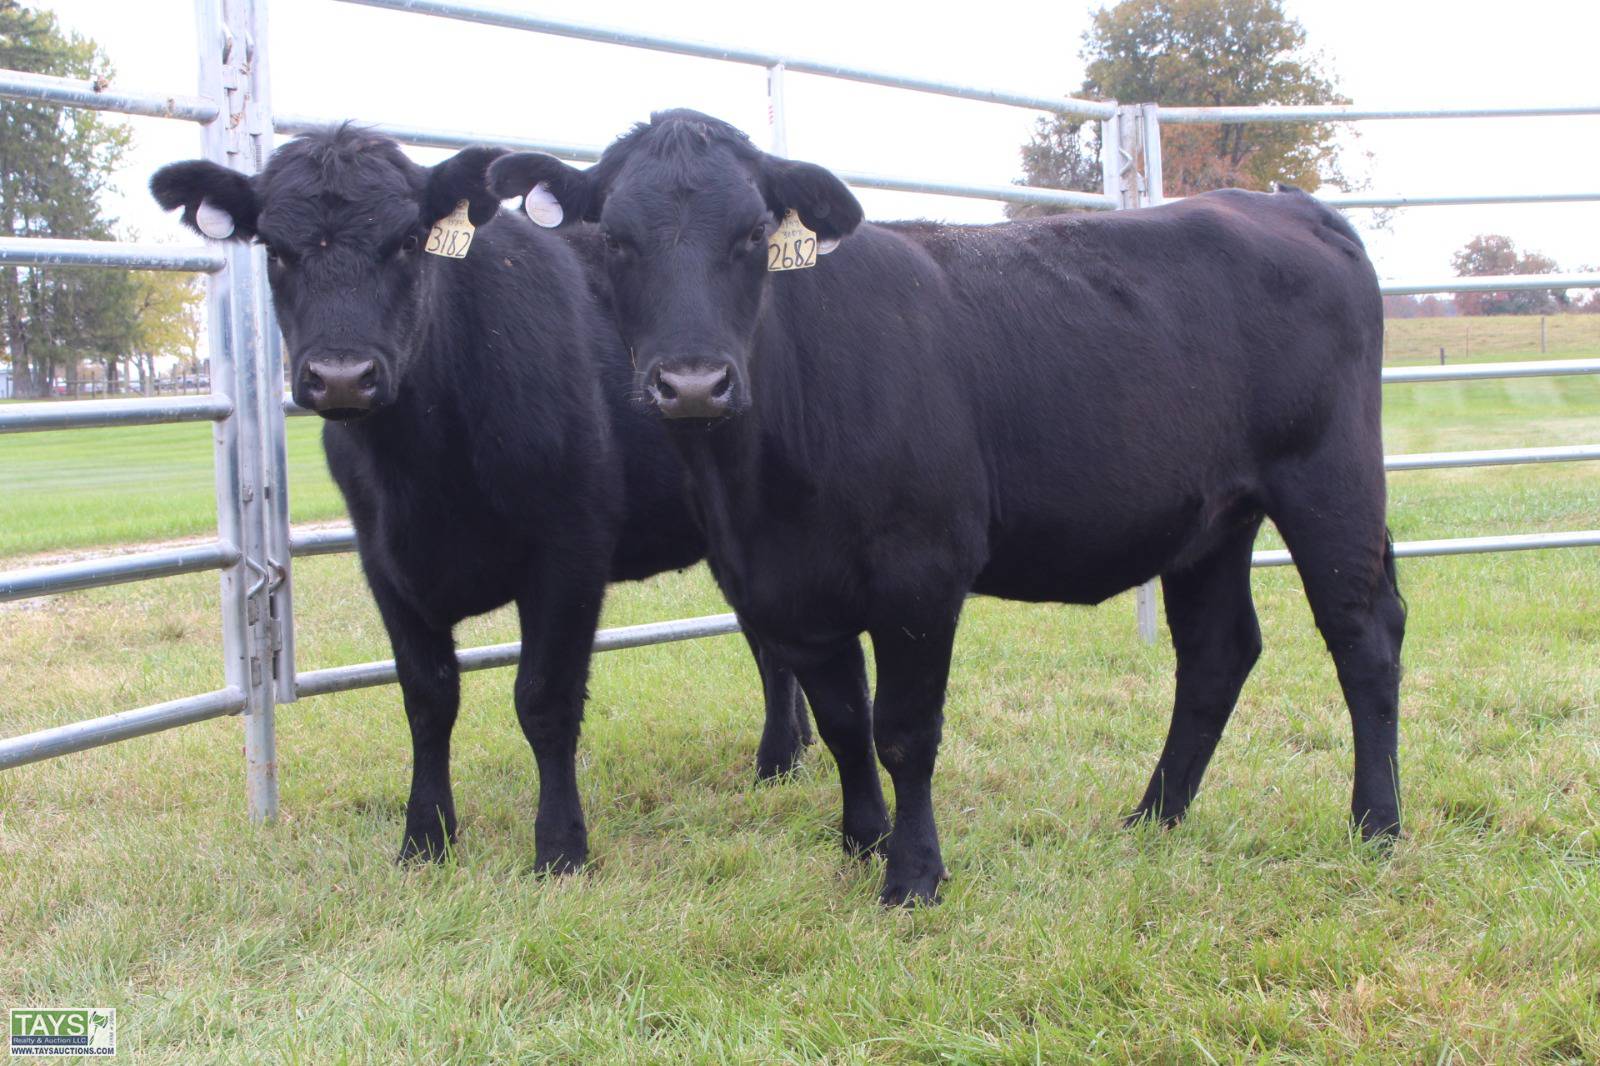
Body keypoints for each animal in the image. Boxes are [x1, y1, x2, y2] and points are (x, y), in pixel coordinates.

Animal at [150, 126, 811, 874]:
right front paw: (424, 840)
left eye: (408, 240)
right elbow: (427, 698)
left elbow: (544, 699)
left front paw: (560, 848)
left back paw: (778, 757)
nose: (342, 375)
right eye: (275, 249)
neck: (423, 473)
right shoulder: (384, 563)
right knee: (766, 640)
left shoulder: (570, 549)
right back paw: (786, 758)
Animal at [485, 109, 1406, 906]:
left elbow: (903, 730)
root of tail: (1283, 204)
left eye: (751, 235)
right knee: (1218, 653)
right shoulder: (792, 589)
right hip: (1212, 520)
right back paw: (1154, 817)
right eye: (615, 238)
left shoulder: (920, 574)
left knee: (1364, 637)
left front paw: (913, 874)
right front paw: (863, 841)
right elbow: (845, 722)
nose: (690, 382)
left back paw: (1376, 825)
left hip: (1330, 478)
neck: (759, 488)